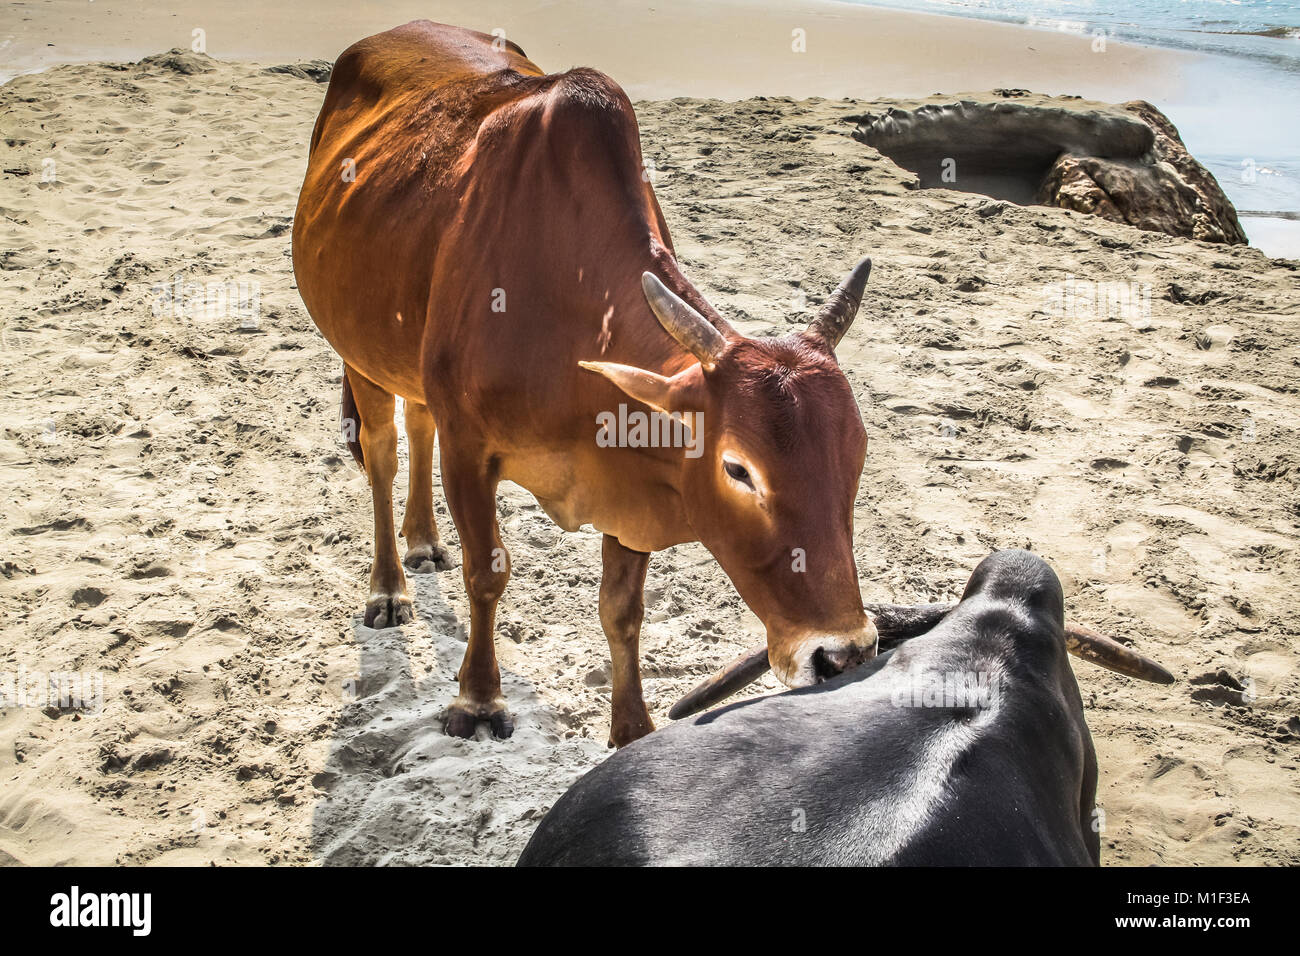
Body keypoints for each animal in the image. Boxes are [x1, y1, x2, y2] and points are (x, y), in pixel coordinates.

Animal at [292, 21, 880, 746]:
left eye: (856, 457)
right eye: (738, 470)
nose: (843, 654)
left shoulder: (630, 475)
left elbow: (622, 608)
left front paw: (632, 727)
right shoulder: (469, 450)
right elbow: (487, 574)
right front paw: (477, 701)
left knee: (416, 421)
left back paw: (425, 540)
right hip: (358, 354)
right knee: (381, 455)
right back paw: (389, 586)